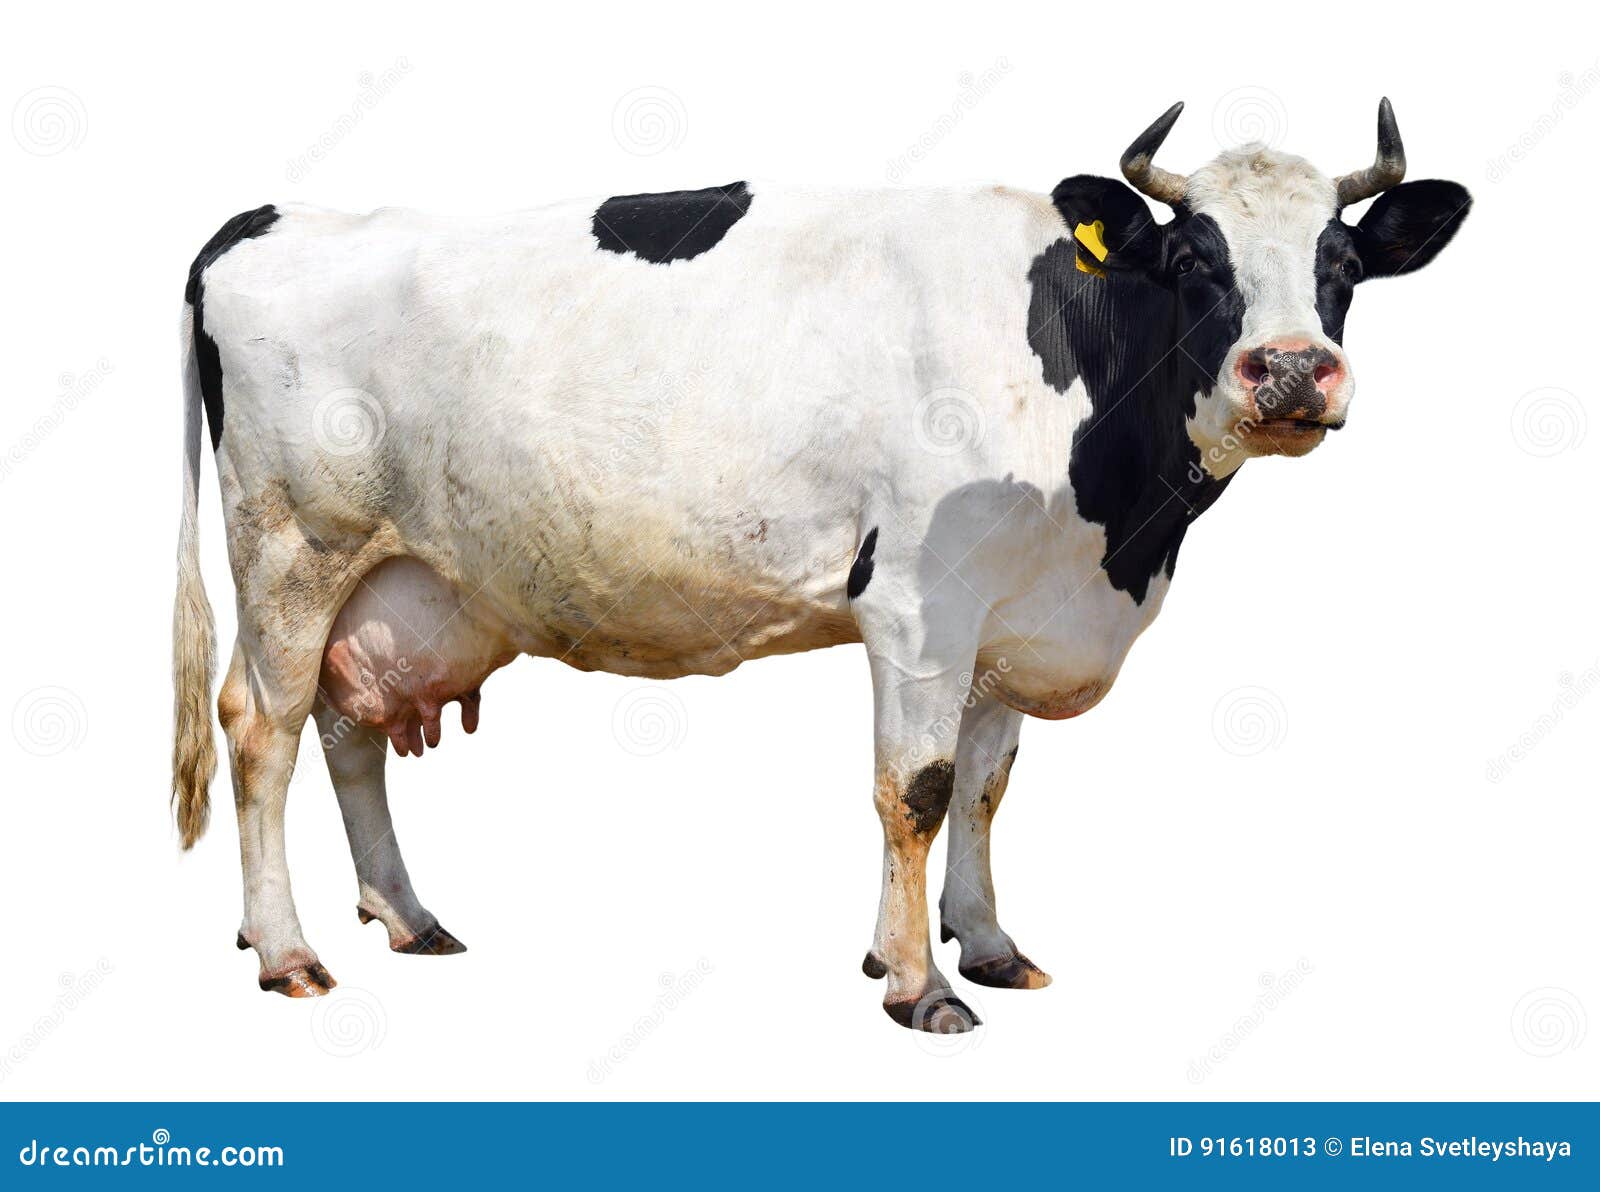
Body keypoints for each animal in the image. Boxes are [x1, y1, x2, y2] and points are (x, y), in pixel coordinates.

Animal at [172, 99, 1469, 1032]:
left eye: (1341, 262)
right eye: (1196, 259)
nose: (1290, 370)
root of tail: (272, 217)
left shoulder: (1010, 615)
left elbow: (985, 788)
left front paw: (983, 947)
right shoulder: (919, 603)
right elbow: (918, 790)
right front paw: (916, 984)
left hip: (390, 577)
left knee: (343, 727)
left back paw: (403, 915)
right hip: (291, 549)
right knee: (262, 728)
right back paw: (286, 950)